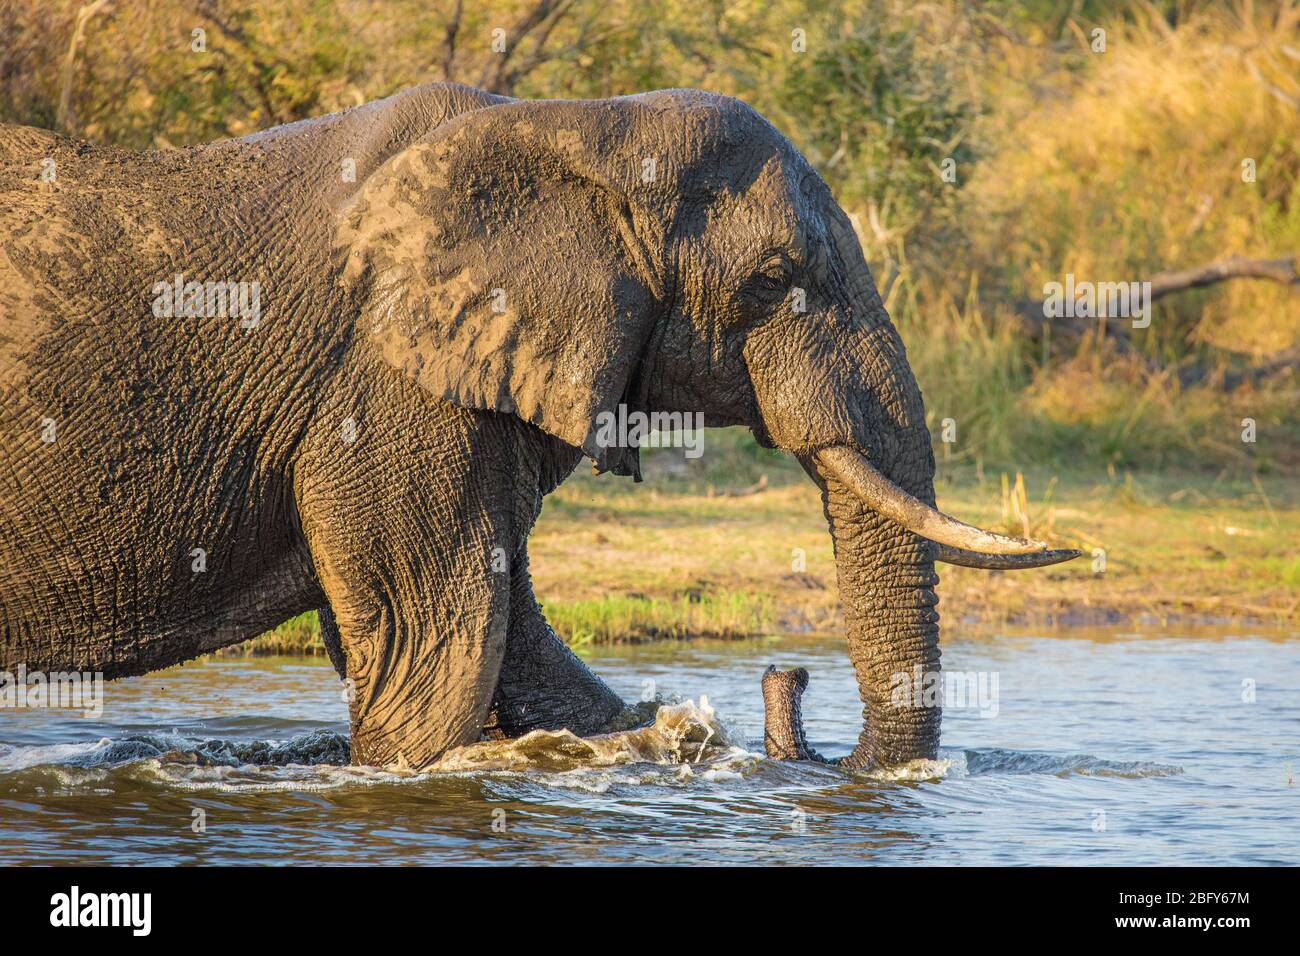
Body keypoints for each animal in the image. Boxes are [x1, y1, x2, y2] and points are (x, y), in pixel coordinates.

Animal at [0, 81, 1078, 772]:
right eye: (773, 281)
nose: (788, 680)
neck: (583, 129)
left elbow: (515, 644)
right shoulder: (385, 387)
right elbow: (432, 653)